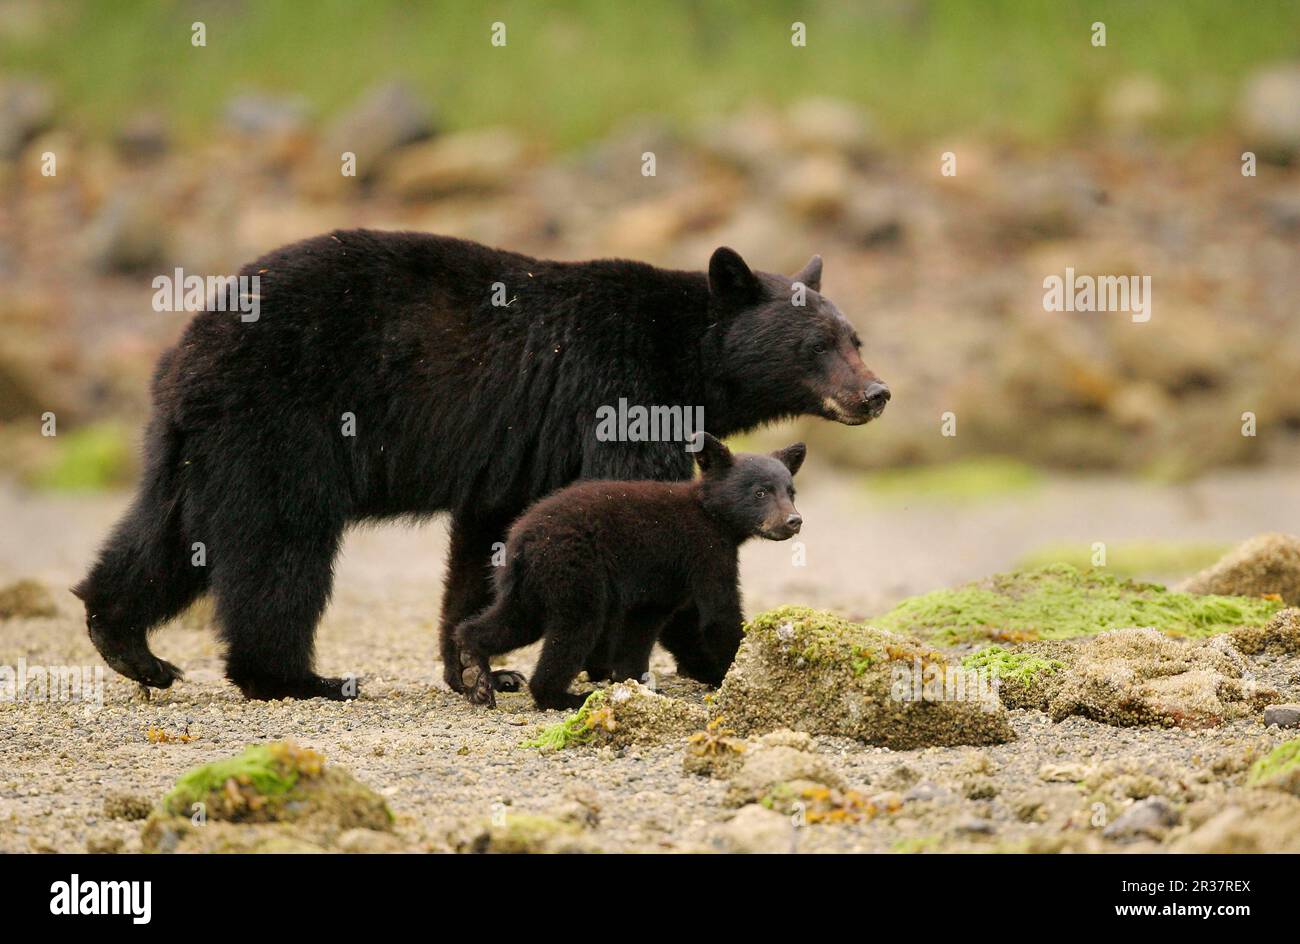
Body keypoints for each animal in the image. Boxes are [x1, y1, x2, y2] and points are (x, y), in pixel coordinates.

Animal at [453, 434, 806, 709]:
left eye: (790, 491)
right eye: (760, 492)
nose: (794, 521)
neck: (712, 514)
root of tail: (522, 539)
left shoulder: (658, 588)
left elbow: (641, 626)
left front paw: (633, 681)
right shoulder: (706, 551)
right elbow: (719, 614)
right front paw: (735, 674)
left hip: (533, 584)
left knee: (511, 622)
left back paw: (475, 670)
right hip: (575, 570)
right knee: (575, 629)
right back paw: (563, 697)